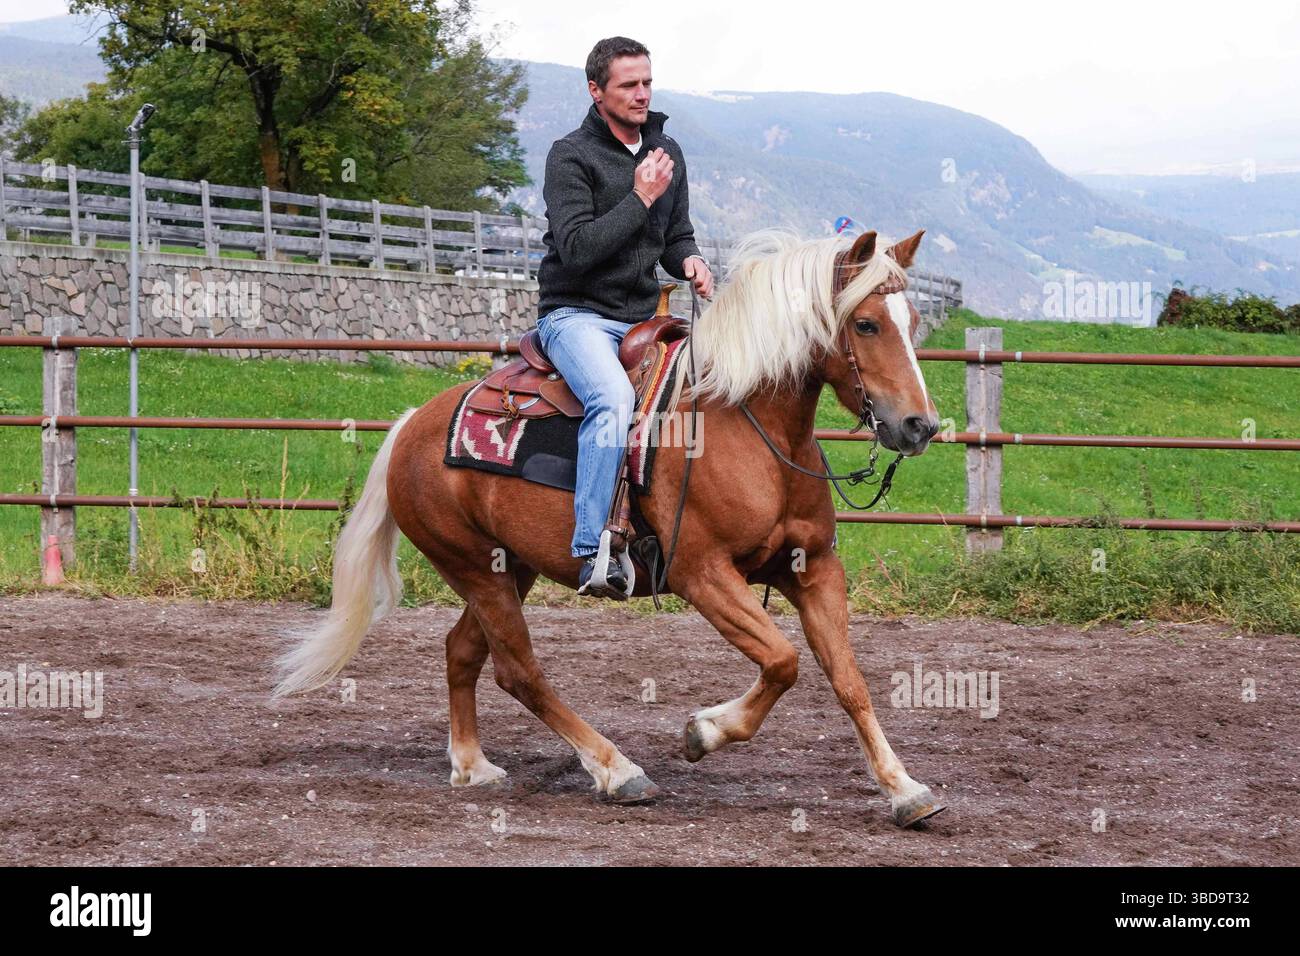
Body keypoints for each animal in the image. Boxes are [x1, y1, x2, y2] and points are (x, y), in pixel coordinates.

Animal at [273, 226, 945, 828]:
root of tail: (413, 423)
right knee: (519, 671)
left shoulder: (814, 570)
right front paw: (703, 732)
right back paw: (617, 770)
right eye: (866, 324)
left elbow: (848, 681)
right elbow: (783, 661)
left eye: (913, 320)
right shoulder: (702, 574)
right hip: (473, 567)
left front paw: (906, 789)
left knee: (463, 650)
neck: (746, 424)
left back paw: (472, 764)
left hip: (508, 567)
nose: (920, 426)